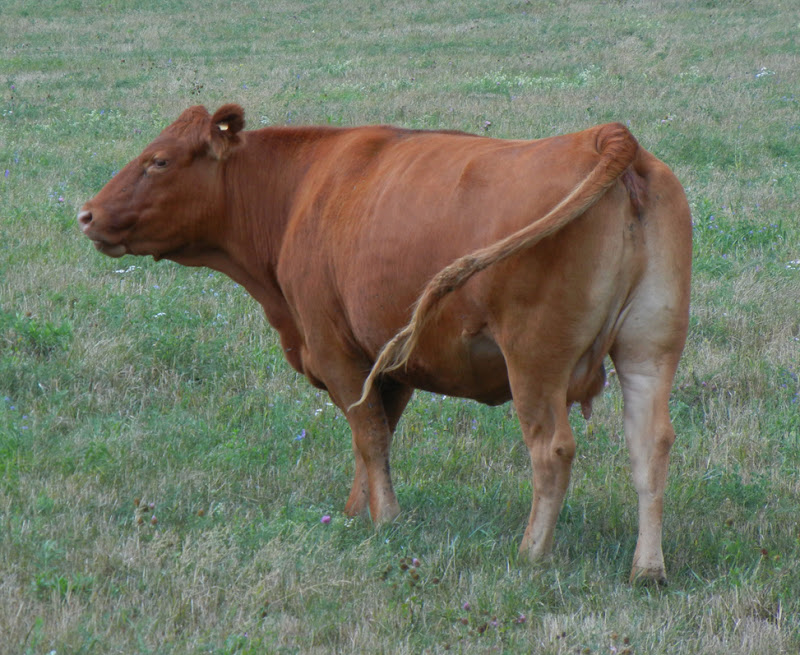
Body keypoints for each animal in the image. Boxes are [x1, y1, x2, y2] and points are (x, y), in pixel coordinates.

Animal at [78, 104, 691, 583]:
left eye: (158, 160)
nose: (86, 213)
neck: (302, 190)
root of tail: (605, 136)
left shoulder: (335, 347)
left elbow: (369, 433)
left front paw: (387, 520)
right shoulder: (390, 359)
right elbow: (375, 432)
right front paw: (356, 511)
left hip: (535, 359)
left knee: (552, 450)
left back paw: (530, 553)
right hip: (649, 349)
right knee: (651, 444)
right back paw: (648, 568)